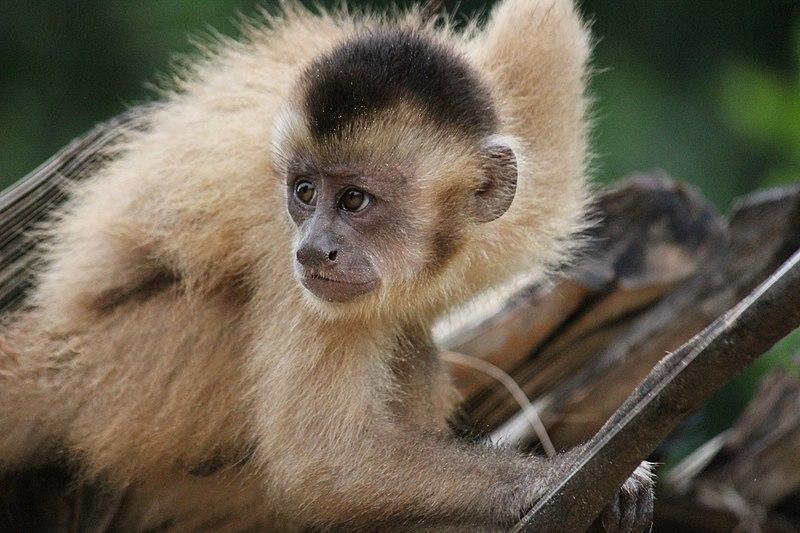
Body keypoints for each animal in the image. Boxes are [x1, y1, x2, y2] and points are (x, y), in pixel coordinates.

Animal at [0, 0, 654, 531]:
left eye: (355, 201)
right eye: (304, 192)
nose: (315, 249)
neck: (438, 258)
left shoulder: (523, 184)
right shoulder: (276, 234)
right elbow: (322, 464)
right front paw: (560, 476)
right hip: (120, 372)